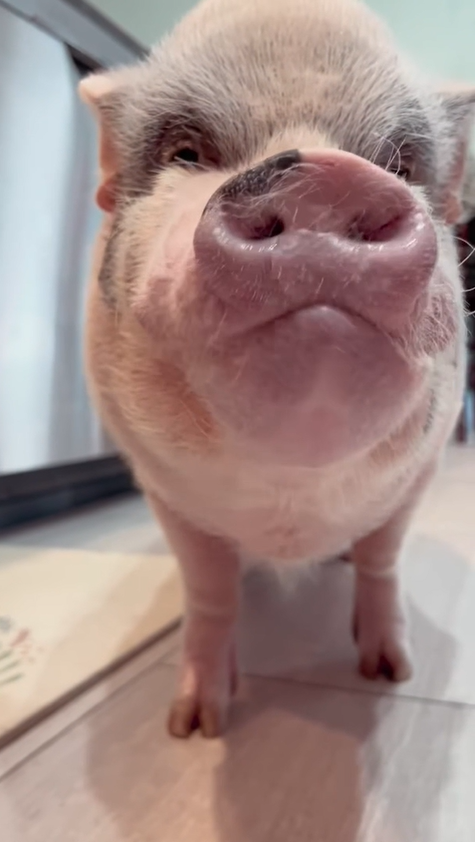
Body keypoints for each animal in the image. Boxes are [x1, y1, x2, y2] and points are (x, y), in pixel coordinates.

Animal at [79, 0, 475, 739]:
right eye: (186, 153)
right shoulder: (164, 491)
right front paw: (194, 727)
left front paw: (389, 675)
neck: (292, 505)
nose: (325, 175)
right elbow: (209, 591)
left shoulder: (419, 475)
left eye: (398, 162)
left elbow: (382, 562)